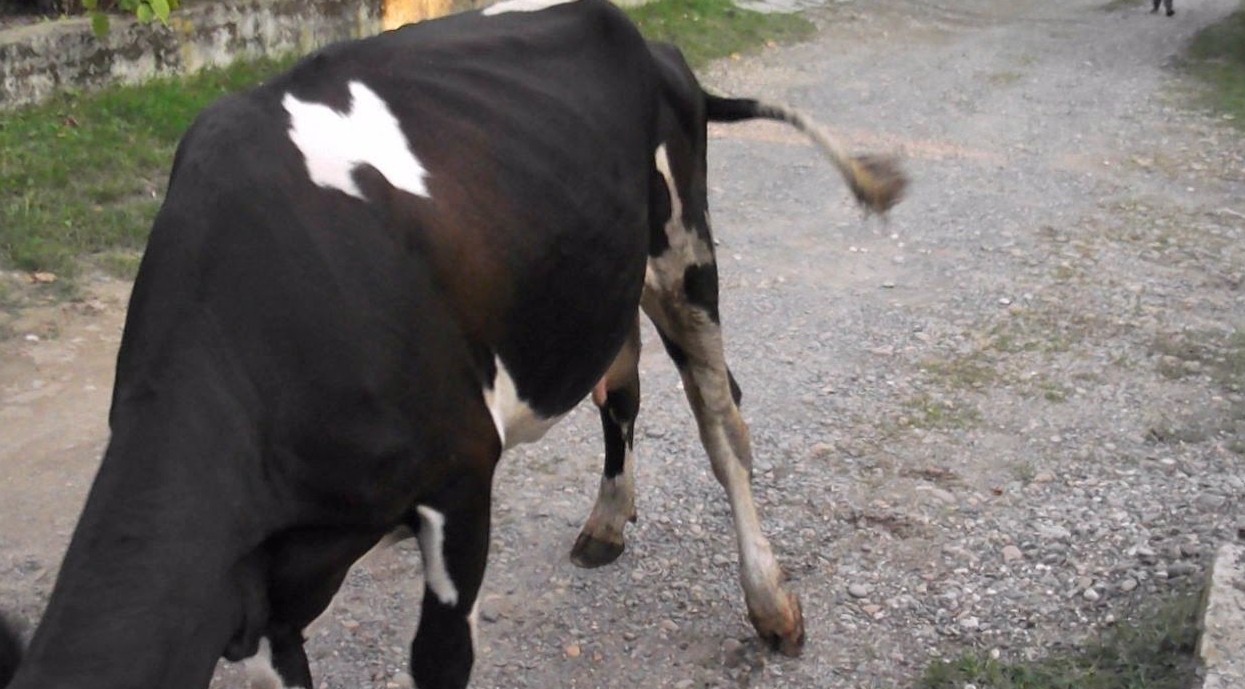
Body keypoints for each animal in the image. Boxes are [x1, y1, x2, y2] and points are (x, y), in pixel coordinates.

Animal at [0, 0, 906, 686]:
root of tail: (646, 37)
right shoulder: (258, 585)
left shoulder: (461, 479)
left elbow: (441, 659)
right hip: (597, 274)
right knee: (620, 390)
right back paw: (608, 520)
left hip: (683, 249)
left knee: (722, 418)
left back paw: (770, 602)